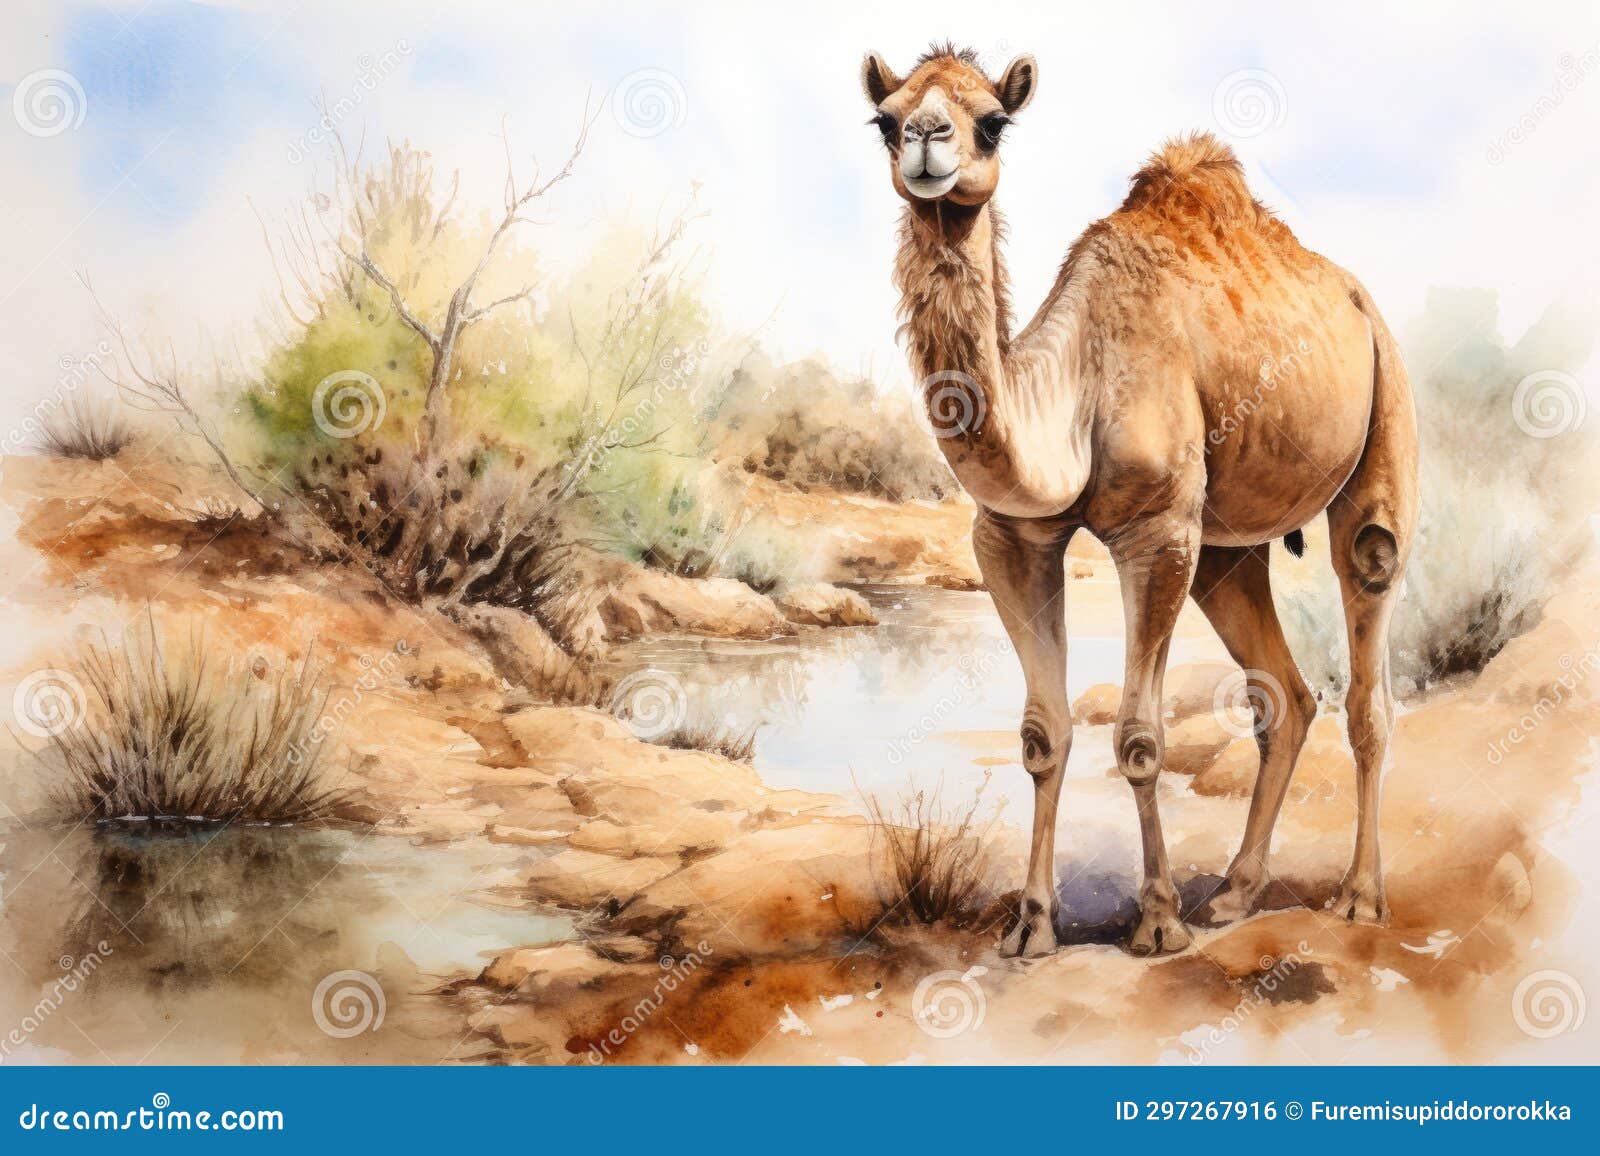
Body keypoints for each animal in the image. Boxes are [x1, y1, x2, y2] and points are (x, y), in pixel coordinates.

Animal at [860, 46, 1418, 957]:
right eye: (885, 118)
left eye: (993, 120)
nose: (927, 143)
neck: (1074, 382)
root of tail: (1359, 299)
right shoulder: (1011, 540)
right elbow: (1044, 734)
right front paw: (1031, 926)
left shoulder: (1156, 532)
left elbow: (1140, 737)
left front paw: (1156, 921)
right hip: (1225, 547)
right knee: (1285, 696)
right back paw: (1234, 891)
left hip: (1383, 410)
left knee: (1368, 636)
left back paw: (1360, 897)